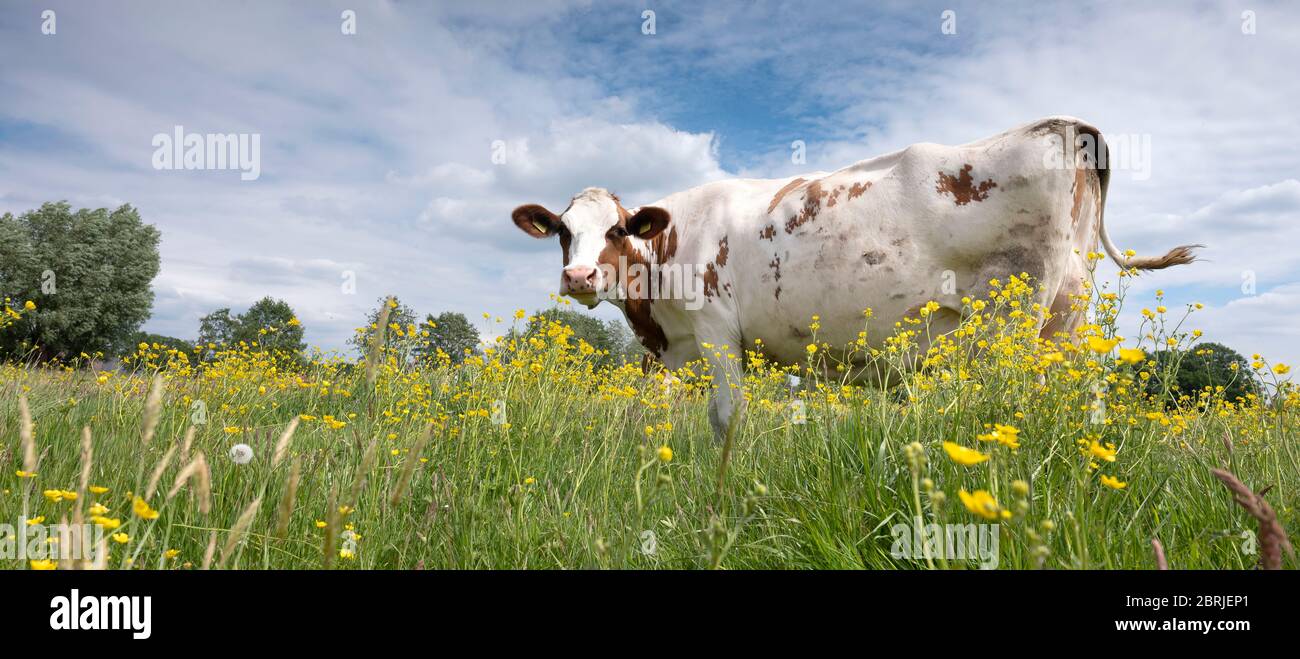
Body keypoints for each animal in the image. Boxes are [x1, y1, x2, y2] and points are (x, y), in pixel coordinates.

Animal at [511, 117, 1198, 440]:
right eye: (564, 230)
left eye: (617, 230)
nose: (577, 275)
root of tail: (1060, 123)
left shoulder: (715, 328)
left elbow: (727, 415)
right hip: (1068, 316)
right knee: (1084, 398)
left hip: (1013, 320)